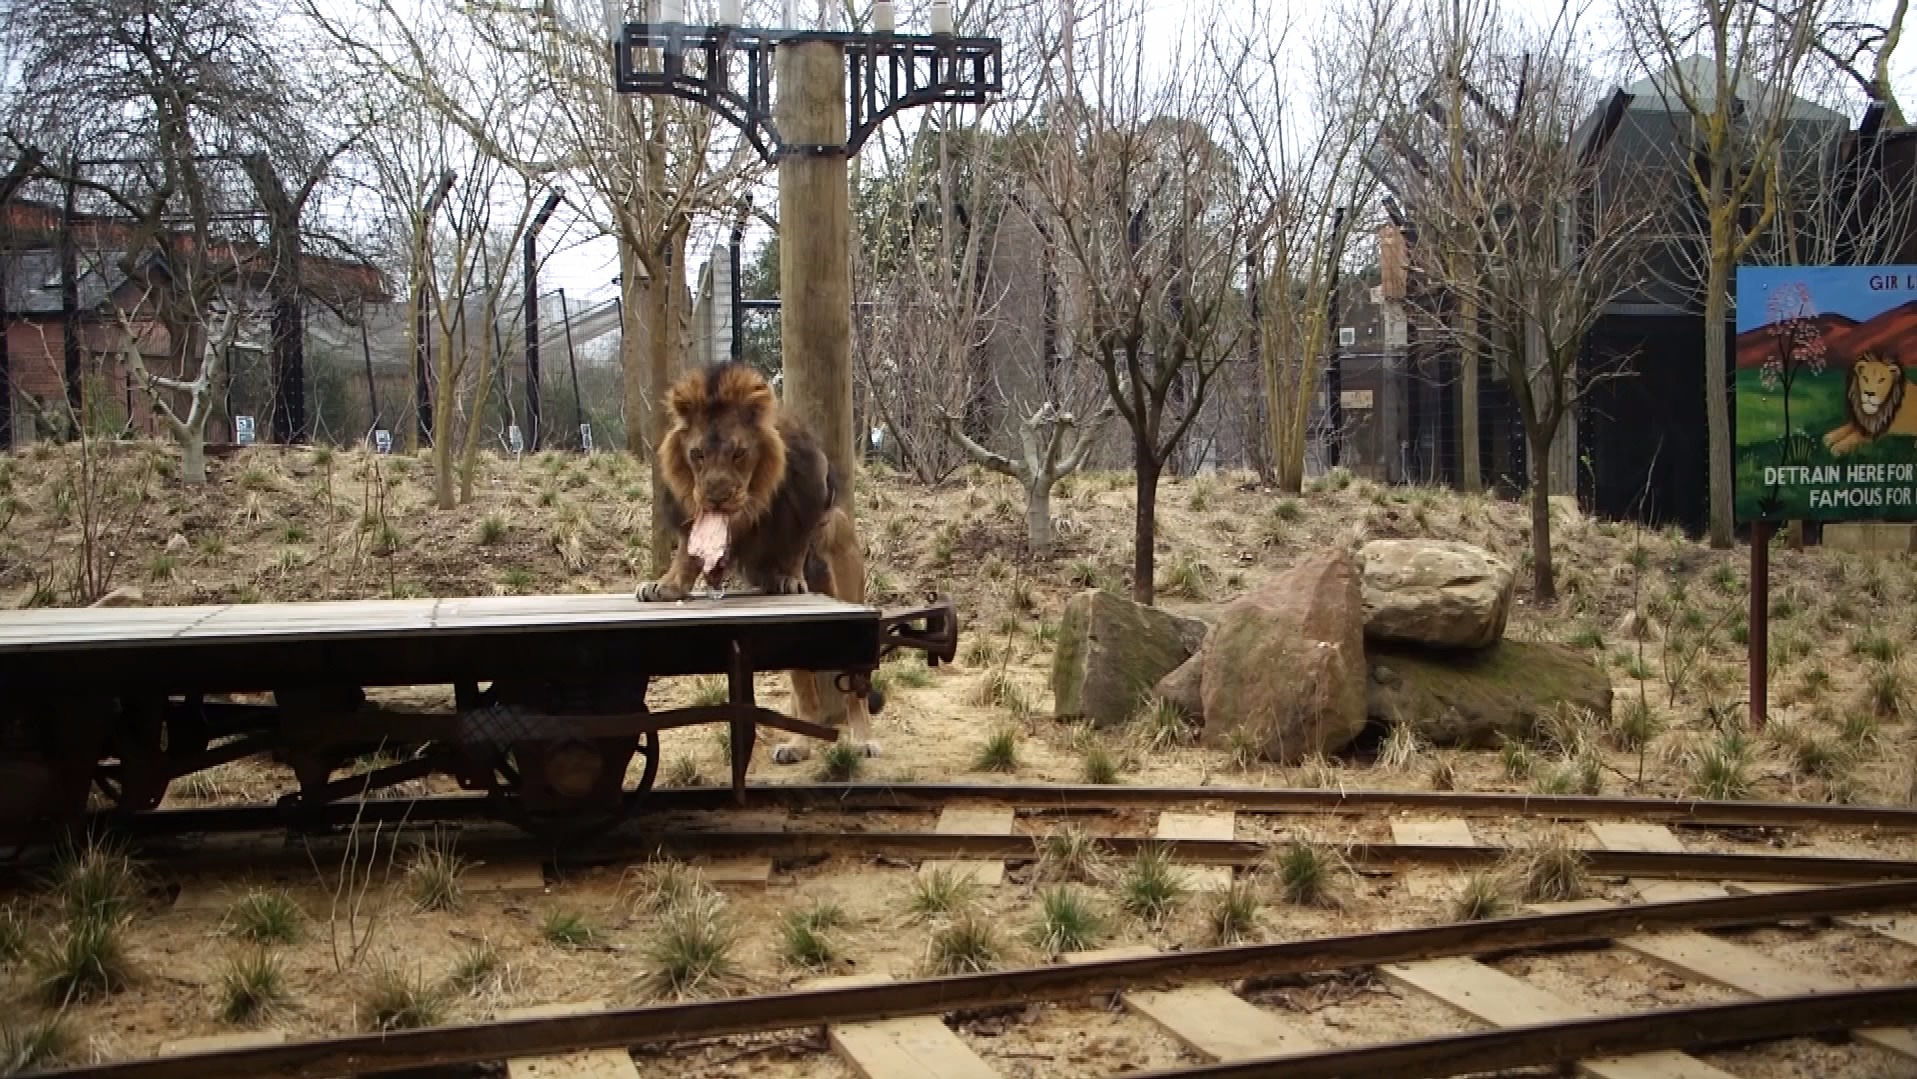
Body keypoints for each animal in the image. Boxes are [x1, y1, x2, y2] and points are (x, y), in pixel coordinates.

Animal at [636, 362, 881, 763]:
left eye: (739, 454)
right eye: (697, 455)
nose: (716, 497)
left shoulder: (808, 493)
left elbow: (795, 540)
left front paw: (790, 577)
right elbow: (688, 549)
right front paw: (666, 586)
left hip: (846, 587)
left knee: (854, 692)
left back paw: (862, 739)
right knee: (806, 697)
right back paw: (798, 745)